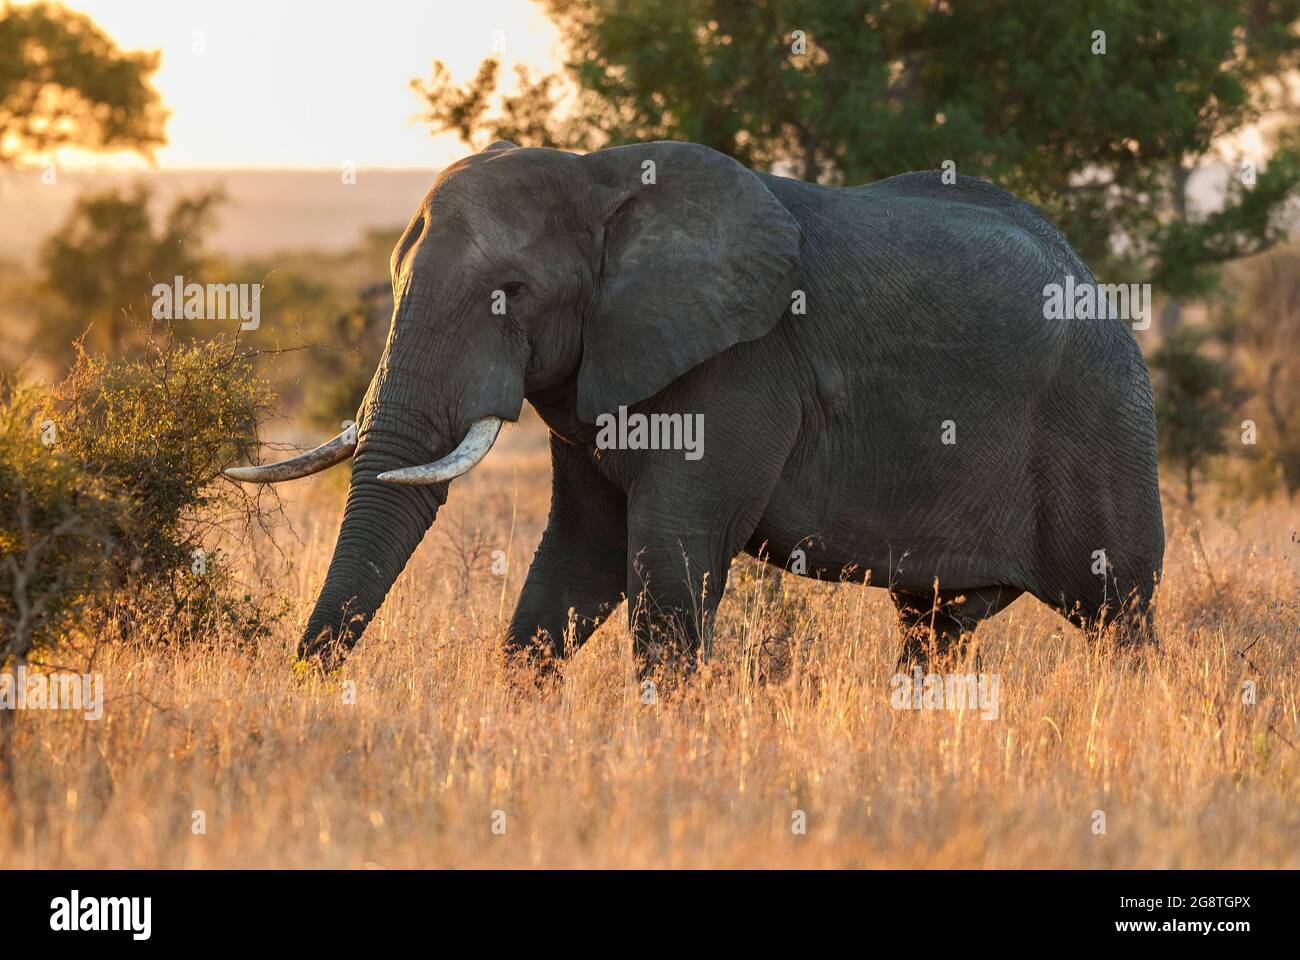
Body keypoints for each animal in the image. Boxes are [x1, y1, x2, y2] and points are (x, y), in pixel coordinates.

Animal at [226, 139, 1165, 674]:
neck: (600, 179)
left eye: (511, 293)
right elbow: (578, 558)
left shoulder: (744, 364)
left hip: (1102, 420)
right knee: (936, 623)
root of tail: (1095, 279)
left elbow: (670, 557)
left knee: (1118, 609)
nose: (307, 687)